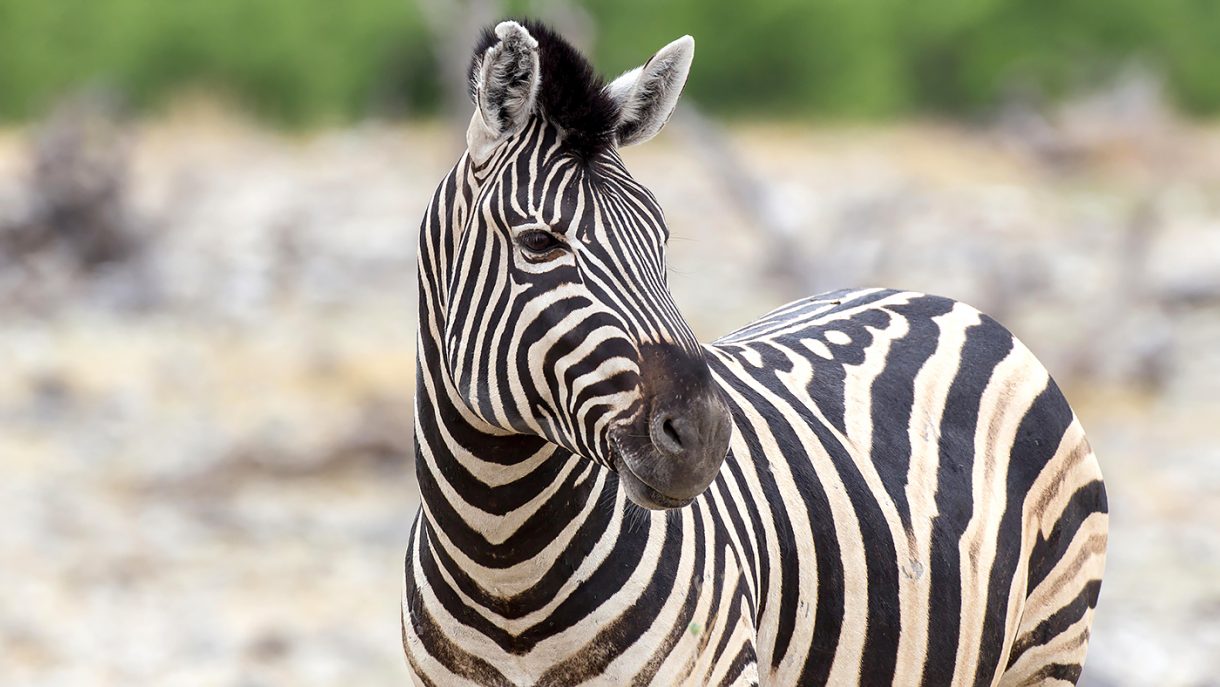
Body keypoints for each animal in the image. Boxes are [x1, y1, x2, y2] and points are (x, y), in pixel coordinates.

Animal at [402, 19, 1108, 686]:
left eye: (659, 238)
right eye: (540, 242)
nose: (705, 435)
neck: (504, 565)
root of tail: (936, 298)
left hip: (1049, 644)